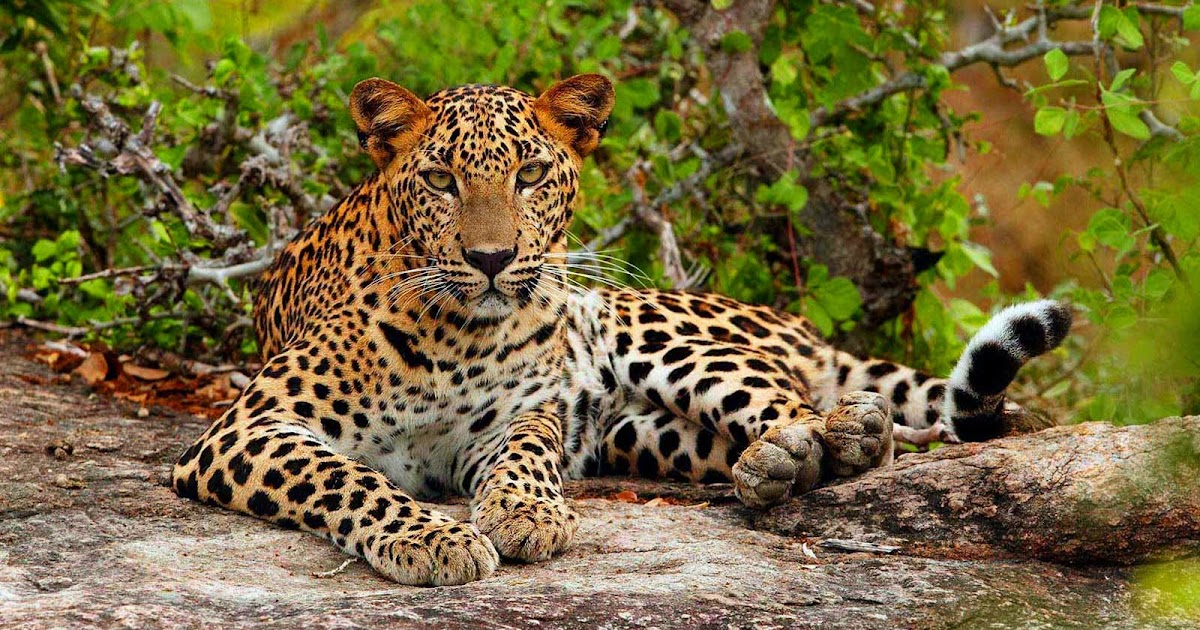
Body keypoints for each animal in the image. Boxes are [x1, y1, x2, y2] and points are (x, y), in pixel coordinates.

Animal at [171, 74, 1073, 586]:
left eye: (531, 173)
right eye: (441, 179)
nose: (493, 259)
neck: (457, 334)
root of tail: (795, 322)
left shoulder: (513, 416)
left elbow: (527, 453)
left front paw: (524, 514)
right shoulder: (245, 429)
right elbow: (347, 478)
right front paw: (430, 537)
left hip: (647, 327)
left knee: (805, 403)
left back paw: (829, 435)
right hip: (639, 434)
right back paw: (776, 466)